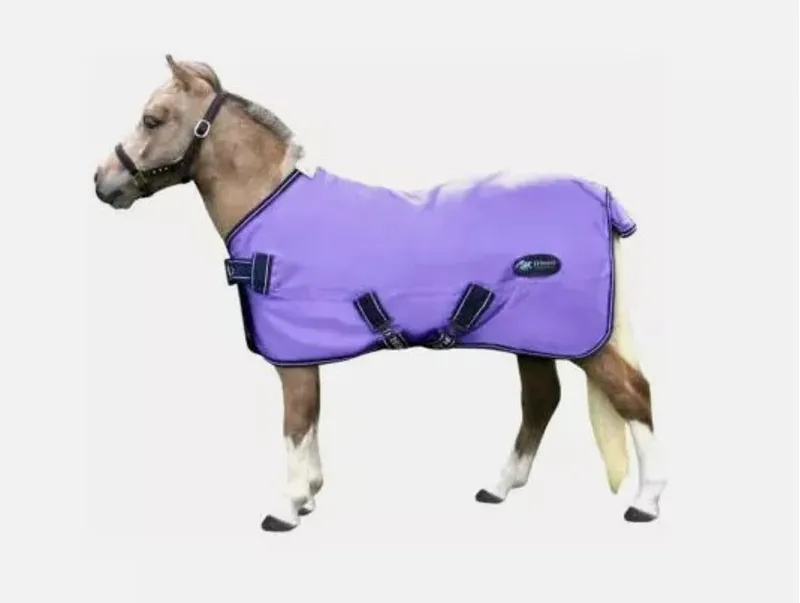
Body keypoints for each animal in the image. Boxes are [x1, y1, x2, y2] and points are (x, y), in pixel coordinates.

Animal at [92, 55, 667, 532]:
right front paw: (309, 495)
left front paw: (287, 507)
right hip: (532, 338)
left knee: (632, 394)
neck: (271, 203)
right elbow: (310, 423)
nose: (103, 181)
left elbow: (295, 425)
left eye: (152, 119)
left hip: (583, 343)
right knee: (541, 401)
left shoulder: (294, 357)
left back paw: (646, 502)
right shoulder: (305, 354)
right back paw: (498, 487)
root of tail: (605, 202)